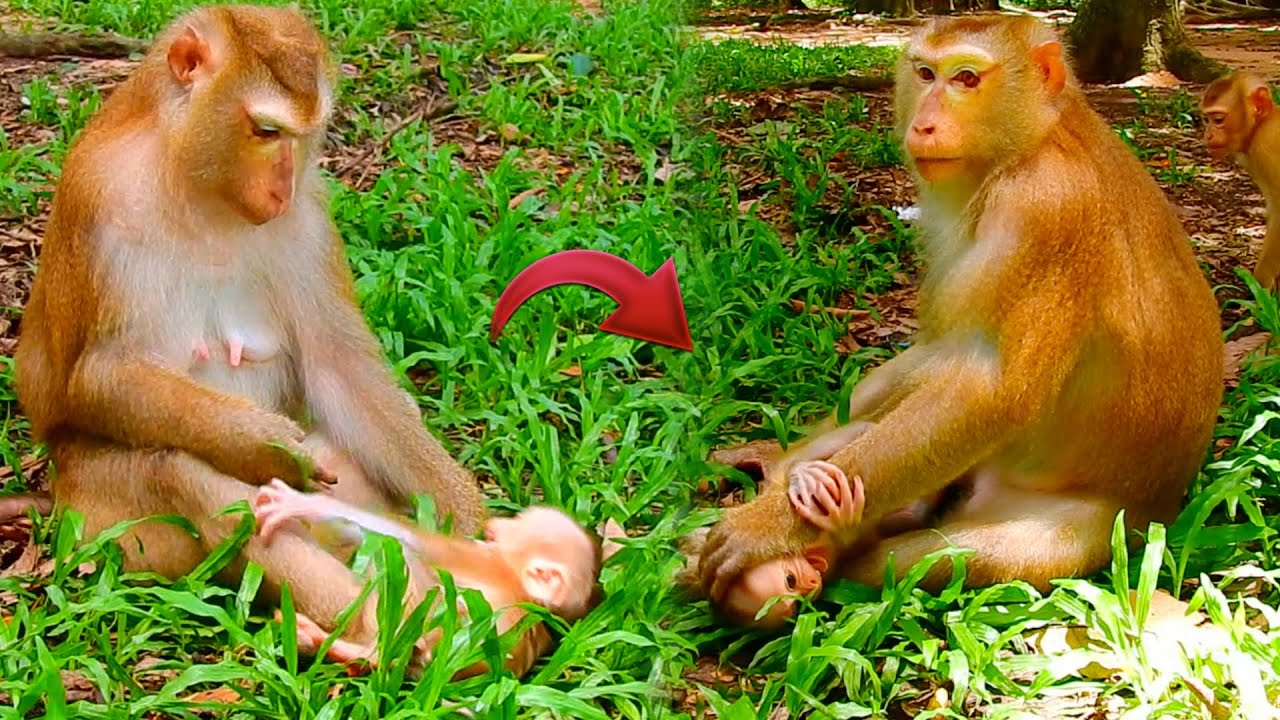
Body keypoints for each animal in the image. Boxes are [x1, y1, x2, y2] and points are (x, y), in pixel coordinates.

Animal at [12, 4, 486, 650]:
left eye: (302, 135)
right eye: (265, 131)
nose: (280, 186)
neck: (194, 182)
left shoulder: (306, 217)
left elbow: (339, 367)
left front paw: (471, 525)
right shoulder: (102, 198)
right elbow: (101, 375)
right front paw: (265, 445)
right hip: (103, 525)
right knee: (179, 473)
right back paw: (385, 635)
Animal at [251, 480, 601, 679]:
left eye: (511, 528)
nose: (495, 525)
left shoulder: (481, 559)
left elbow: (405, 540)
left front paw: (306, 505)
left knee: (398, 560)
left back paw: (366, 654)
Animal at [694, 15, 1223, 612]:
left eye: (966, 78)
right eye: (926, 74)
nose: (923, 125)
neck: (1034, 144)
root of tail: (1163, 504)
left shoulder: (1045, 211)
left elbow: (989, 392)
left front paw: (765, 527)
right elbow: (939, 350)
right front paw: (775, 462)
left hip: (1089, 527)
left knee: (952, 558)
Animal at [1201, 71, 1280, 290]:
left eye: (1218, 120)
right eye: (1206, 119)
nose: (1208, 134)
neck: (1262, 124)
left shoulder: (1266, 146)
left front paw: (1261, 284)